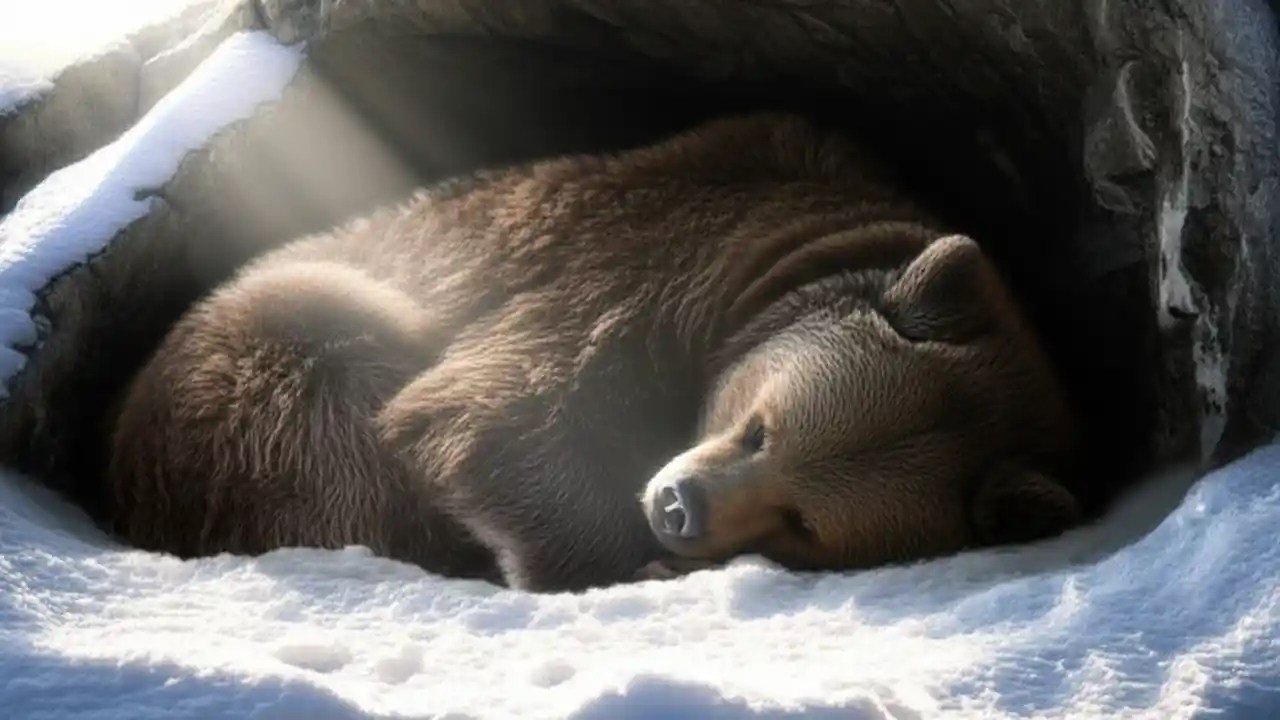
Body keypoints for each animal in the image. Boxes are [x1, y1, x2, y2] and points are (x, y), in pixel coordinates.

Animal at [105, 114, 1082, 592]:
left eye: (804, 522)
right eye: (761, 425)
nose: (677, 507)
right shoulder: (641, 267)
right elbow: (496, 412)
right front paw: (606, 566)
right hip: (260, 359)